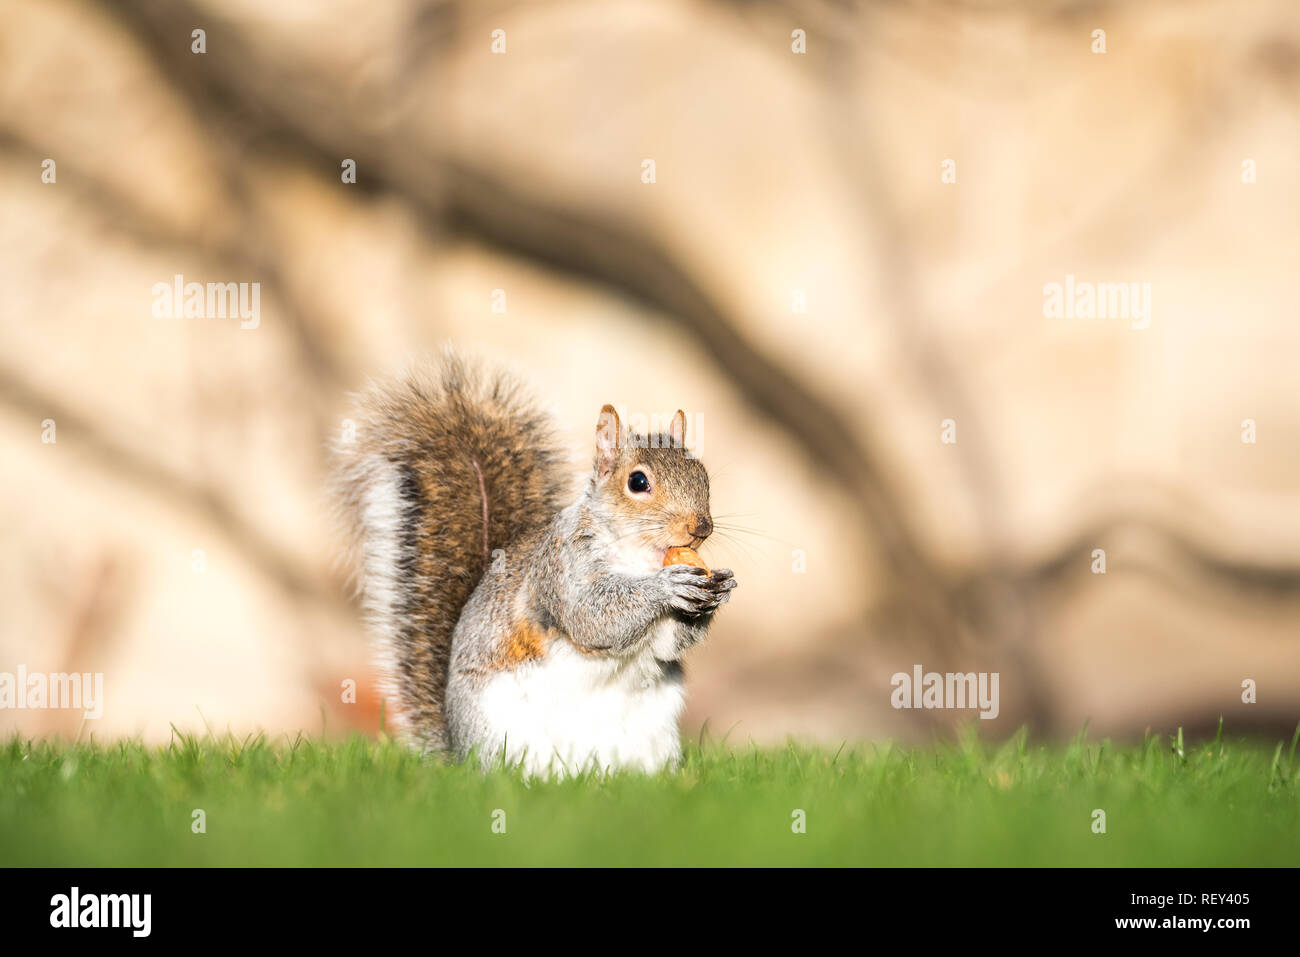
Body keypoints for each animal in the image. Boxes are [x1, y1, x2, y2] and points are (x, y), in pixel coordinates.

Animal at [333, 350, 738, 776]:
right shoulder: (560, 569)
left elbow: (665, 646)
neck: (639, 557)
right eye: (638, 482)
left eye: (703, 476)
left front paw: (721, 587)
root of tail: (460, 756)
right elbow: (592, 617)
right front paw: (668, 586)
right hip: (504, 732)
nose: (701, 526)